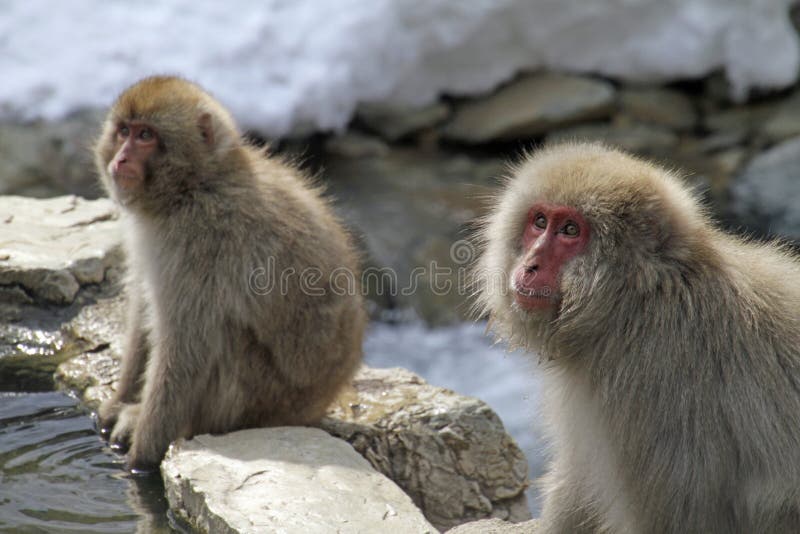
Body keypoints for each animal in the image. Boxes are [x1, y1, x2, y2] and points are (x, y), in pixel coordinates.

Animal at [93, 75, 366, 472]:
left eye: (146, 135)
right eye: (124, 131)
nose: (121, 158)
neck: (195, 183)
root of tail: (317, 404)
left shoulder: (200, 240)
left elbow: (185, 345)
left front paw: (140, 461)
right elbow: (143, 309)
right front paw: (115, 403)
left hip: (257, 399)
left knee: (225, 336)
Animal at [471, 142, 800, 533]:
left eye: (570, 230)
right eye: (539, 222)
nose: (530, 266)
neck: (640, 297)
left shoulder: (650, 380)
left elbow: (679, 516)